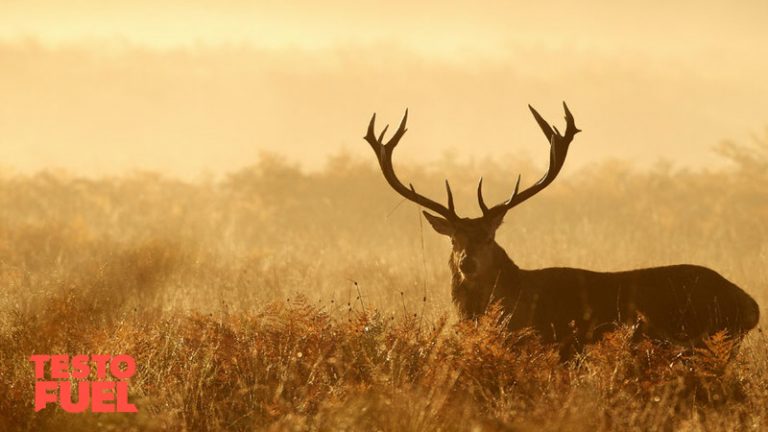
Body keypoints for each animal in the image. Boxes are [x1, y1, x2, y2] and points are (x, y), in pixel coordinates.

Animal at [363, 102, 760, 359]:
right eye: (454, 239)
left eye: (490, 237)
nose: (467, 263)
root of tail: (751, 306)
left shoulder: (559, 345)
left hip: (706, 340)